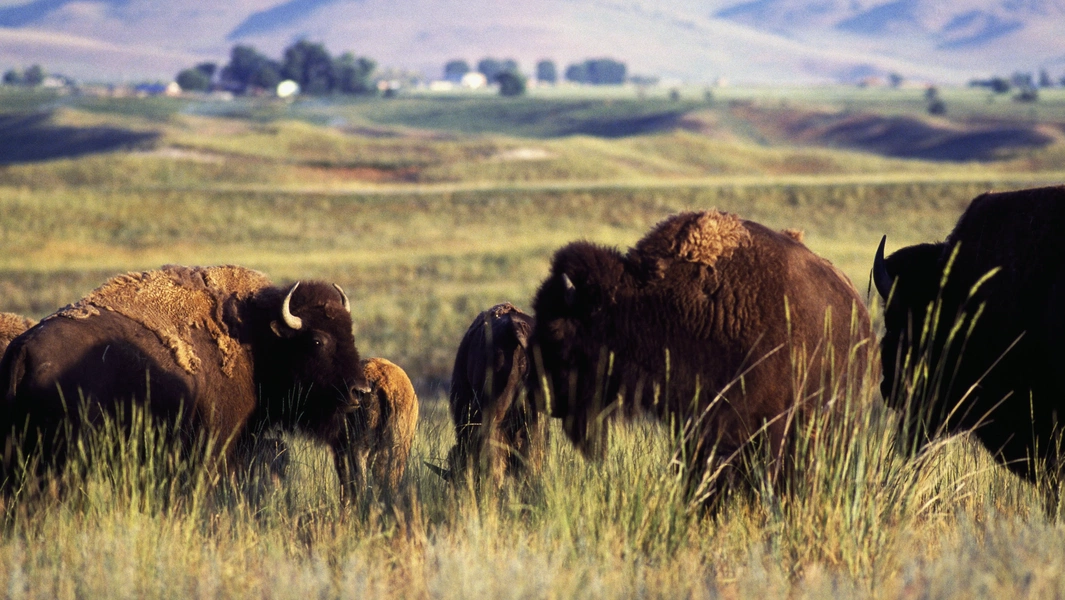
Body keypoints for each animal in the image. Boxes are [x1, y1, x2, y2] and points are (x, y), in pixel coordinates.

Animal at [0, 265, 369, 490]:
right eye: (317, 340)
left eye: (351, 334)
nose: (360, 391)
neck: (257, 338)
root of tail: (23, 350)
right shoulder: (218, 443)